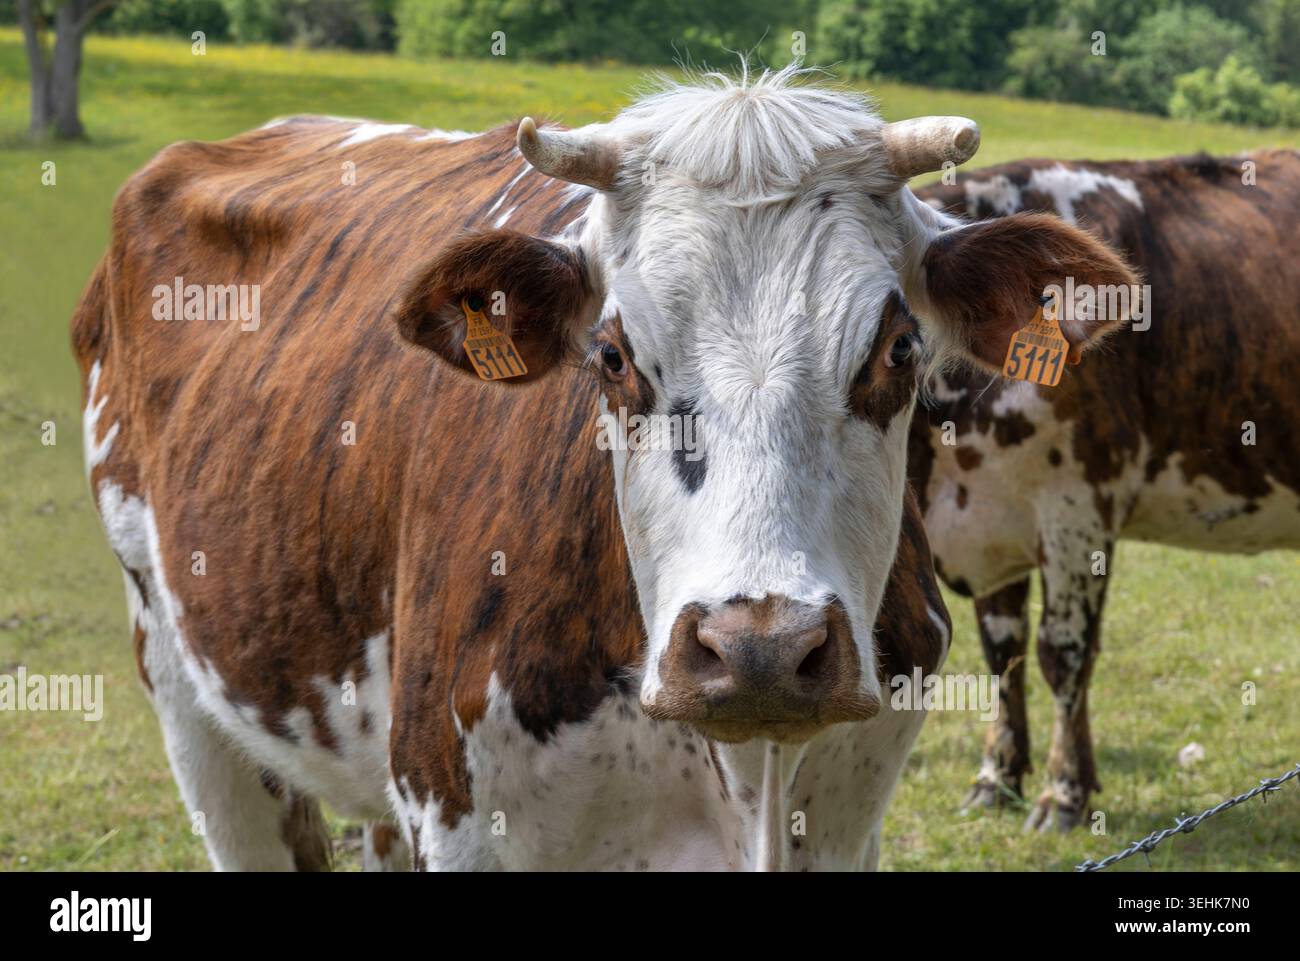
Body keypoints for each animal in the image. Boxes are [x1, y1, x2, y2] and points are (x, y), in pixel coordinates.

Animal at [73, 67, 1133, 870]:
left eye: (901, 348)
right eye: (613, 356)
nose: (759, 649)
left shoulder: (841, 829)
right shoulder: (460, 820)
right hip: (185, 689)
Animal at [911, 151, 1300, 831]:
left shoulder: (1078, 507)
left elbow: (1062, 652)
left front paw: (1064, 791)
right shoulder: (991, 517)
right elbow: (1003, 653)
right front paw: (998, 777)